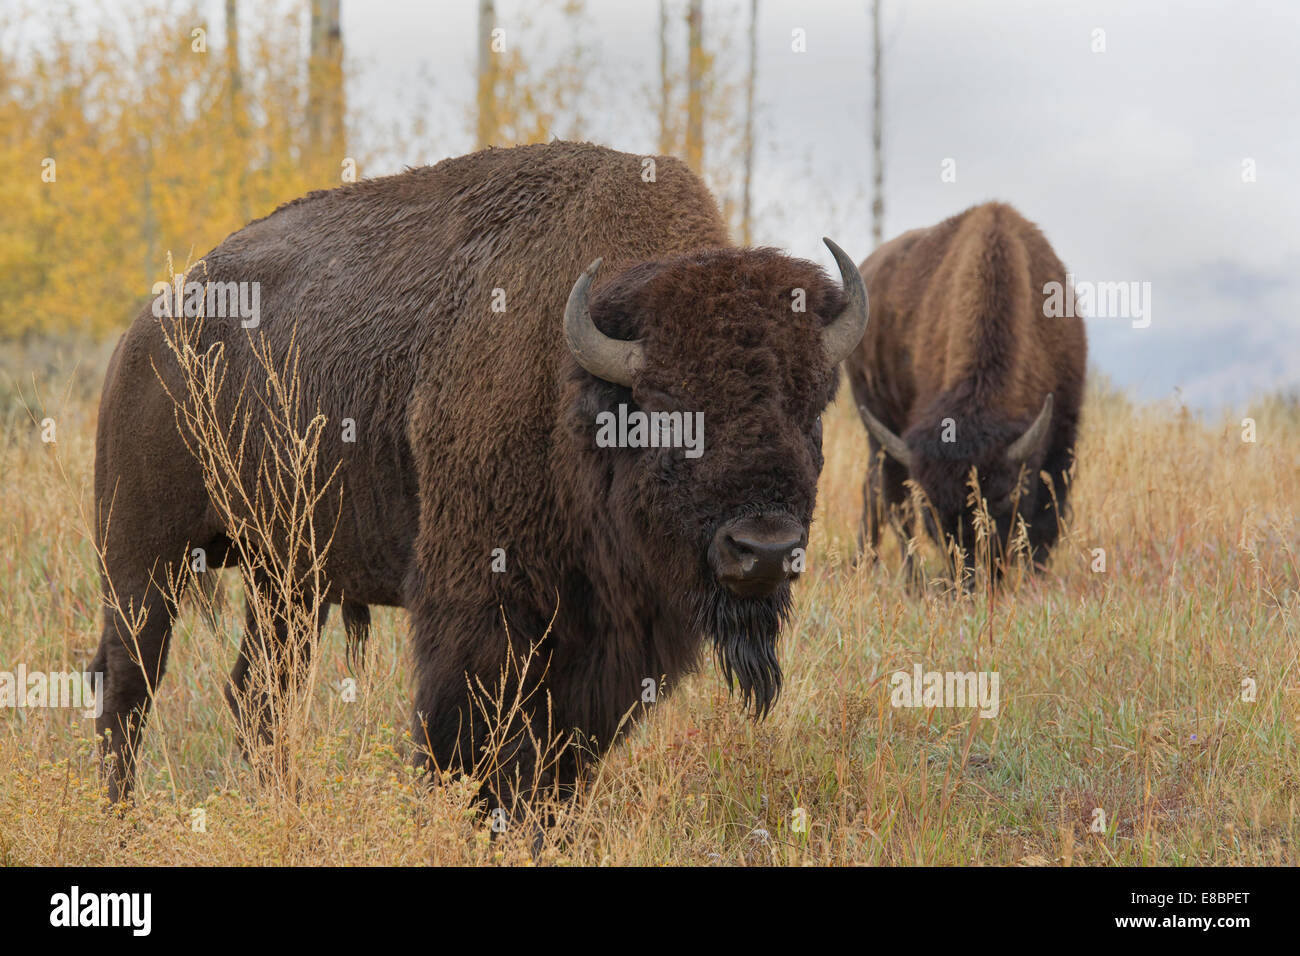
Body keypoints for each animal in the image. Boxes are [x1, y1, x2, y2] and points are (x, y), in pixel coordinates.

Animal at [91, 141, 869, 809]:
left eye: (811, 408)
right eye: (668, 414)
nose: (763, 548)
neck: (577, 389)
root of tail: (145, 332)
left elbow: (564, 750)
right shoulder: (477, 601)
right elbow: (465, 739)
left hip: (286, 578)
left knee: (259, 693)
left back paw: (283, 802)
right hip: (142, 558)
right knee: (128, 682)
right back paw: (122, 817)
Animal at [844, 201, 1086, 585]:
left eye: (1001, 499)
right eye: (933, 514)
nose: (974, 581)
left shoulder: (1063, 428)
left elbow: (1048, 519)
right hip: (877, 426)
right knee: (890, 502)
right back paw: (905, 581)